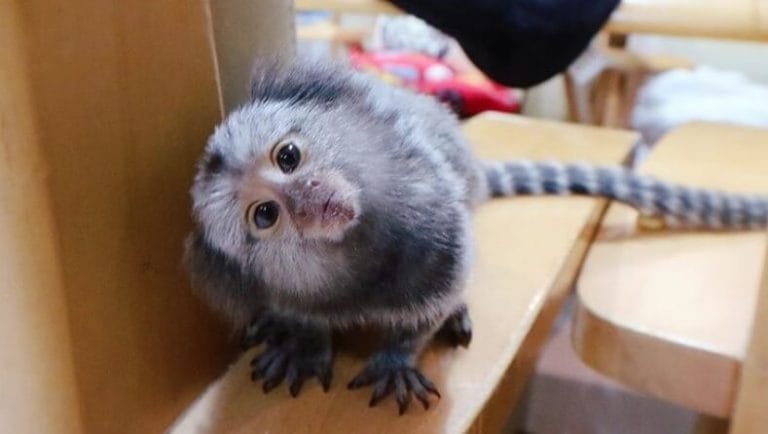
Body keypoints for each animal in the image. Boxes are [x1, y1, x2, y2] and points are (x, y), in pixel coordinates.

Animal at [183, 59, 768, 415]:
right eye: (265, 215)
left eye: (288, 156)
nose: (309, 196)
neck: (357, 249)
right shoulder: (293, 292)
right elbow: (304, 319)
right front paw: (303, 346)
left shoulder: (435, 226)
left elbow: (428, 304)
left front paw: (398, 359)